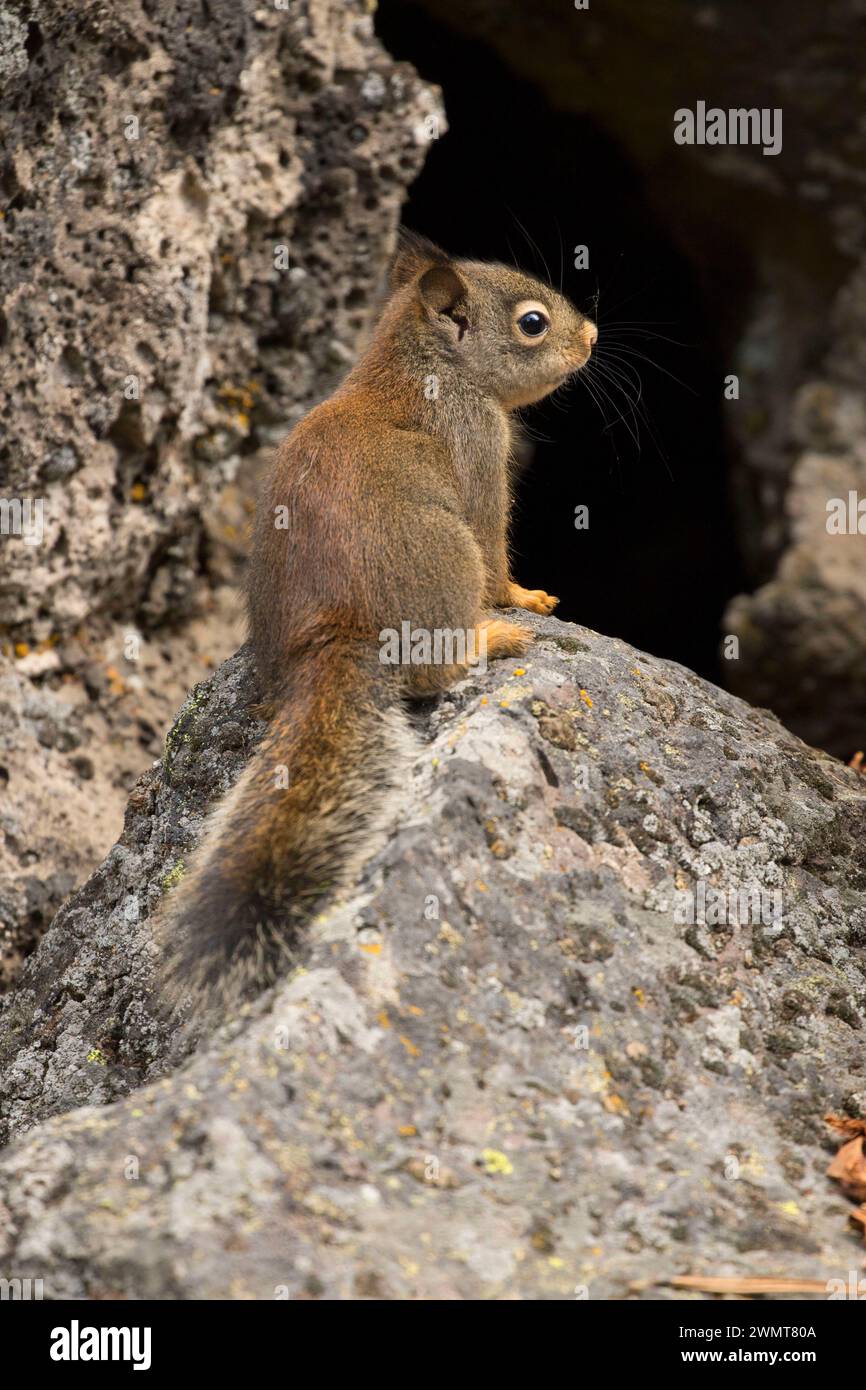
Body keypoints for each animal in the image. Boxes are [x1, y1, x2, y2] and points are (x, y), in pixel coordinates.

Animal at [161, 232, 597, 999]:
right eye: (533, 324)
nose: (594, 335)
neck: (423, 367)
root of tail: (334, 633)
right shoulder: (479, 451)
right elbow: (496, 547)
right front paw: (523, 598)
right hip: (443, 556)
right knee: (433, 667)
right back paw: (493, 635)